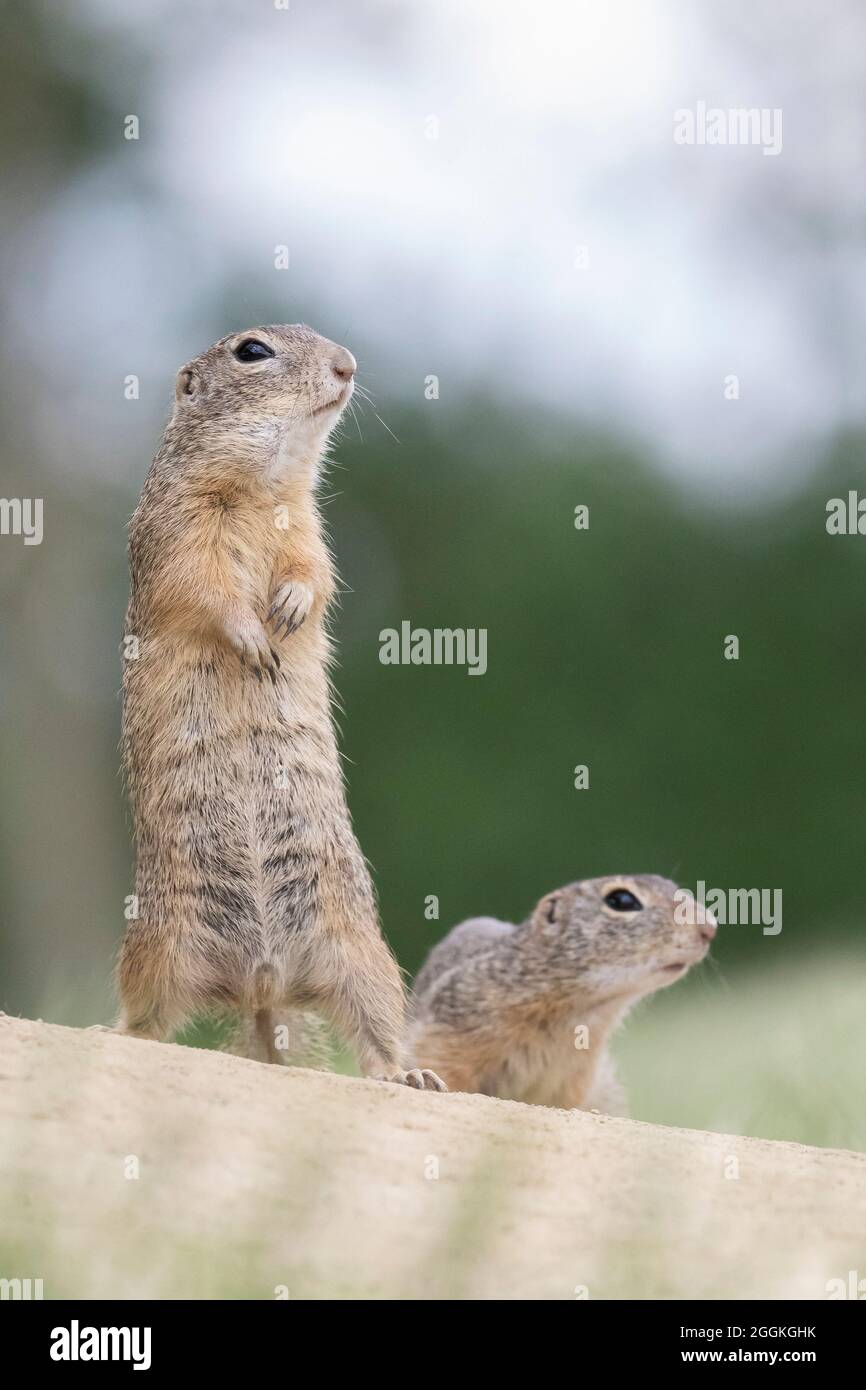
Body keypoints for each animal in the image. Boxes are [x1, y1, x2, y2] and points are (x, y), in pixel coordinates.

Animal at [117, 324, 444, 1091]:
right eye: (252, 351)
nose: (347, 365)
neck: (265, 488)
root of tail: (261, 985)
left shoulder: (311, 530)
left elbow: (313, 573)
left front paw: (288, 613)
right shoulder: (178, 528)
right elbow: (202, 583)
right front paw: (250, 637)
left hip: (360, 954)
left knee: (376, 1030)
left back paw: (407, 1076)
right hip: (159, 949)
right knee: (143, 1021)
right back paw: (106, 1032)